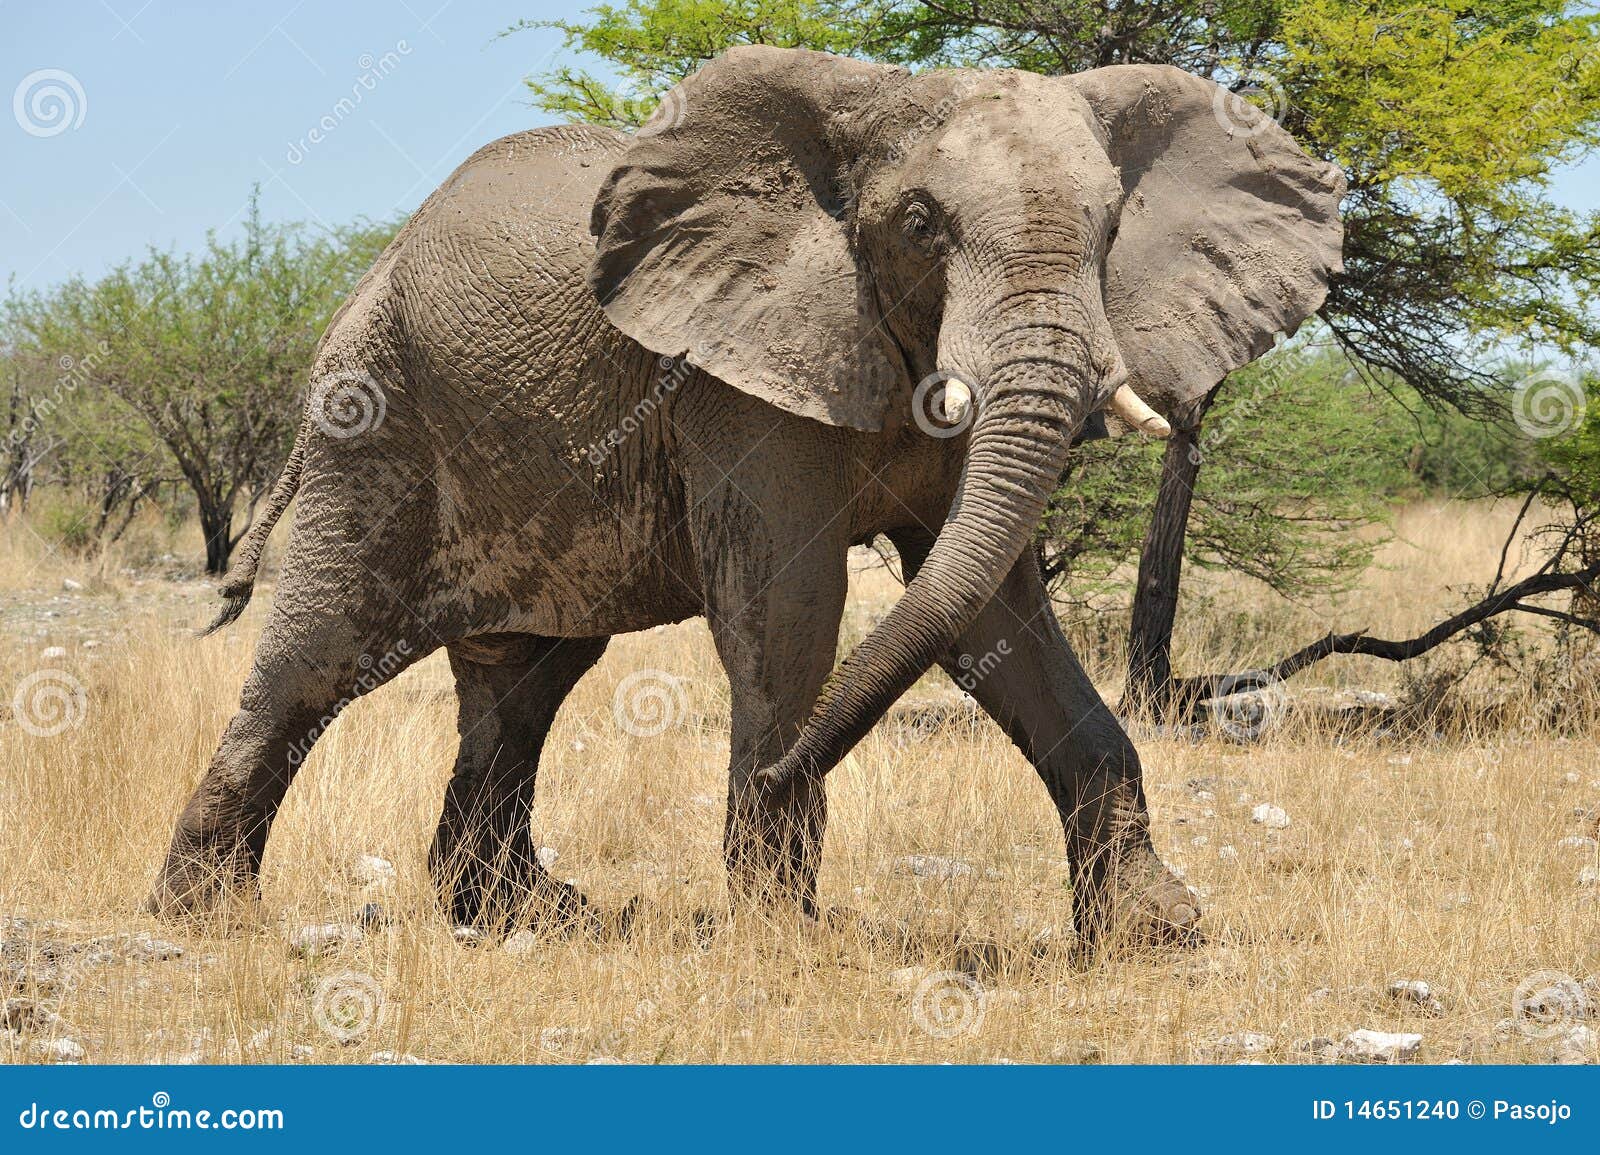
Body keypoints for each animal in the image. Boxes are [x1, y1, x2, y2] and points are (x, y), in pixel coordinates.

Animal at [147, 46, 1343, 949]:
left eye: (1106, 230)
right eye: (920, 225)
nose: (773, 775)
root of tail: (368, 276)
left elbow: (995, 611)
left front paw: (1160, 932)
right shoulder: (731, 376)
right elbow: (790, 607)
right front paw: (779, 929)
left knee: (524, 683)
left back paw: (526, 913)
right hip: (375, 418)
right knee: (316, 658)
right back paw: (203, 917)